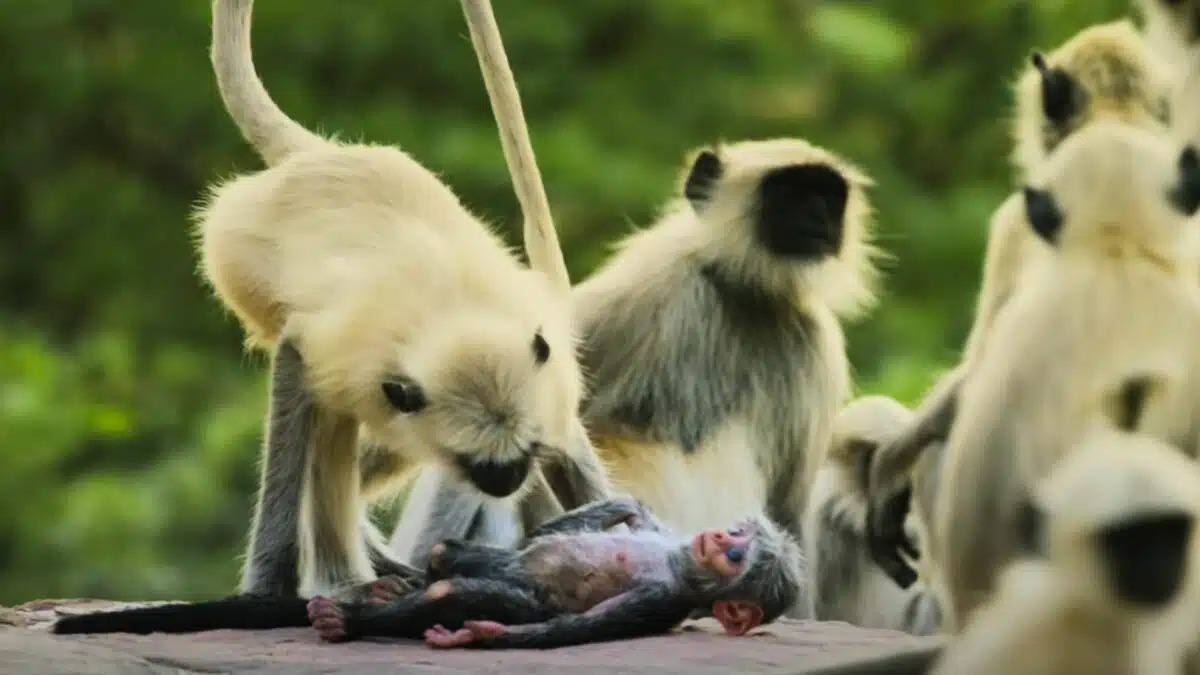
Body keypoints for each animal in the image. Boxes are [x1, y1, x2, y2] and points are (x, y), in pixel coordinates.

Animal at [189, 0, 612, 607]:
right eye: (480, 462)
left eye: (520, 455)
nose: (507, 480)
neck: (455, 312)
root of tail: (323, 156)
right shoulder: (346, 359)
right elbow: (298, 368)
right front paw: (267, 586)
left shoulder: (549, 387)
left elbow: (568, 449)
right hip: (241, 260)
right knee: (326, 413)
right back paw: (351, 576)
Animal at [302, 497, 805, 649]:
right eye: (735, 533)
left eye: (737, 557)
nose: (718, 539)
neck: (675, 560)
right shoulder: (657, 529)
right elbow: (624, 508)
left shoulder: (660, 598)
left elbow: (580, 626)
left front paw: (481, 635)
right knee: (447, 554)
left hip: (523, 598)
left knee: (448, 591)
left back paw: (344, 620)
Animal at [391, 136, 882, 589]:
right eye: (789, 193)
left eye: (828, 197)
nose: (817, 217)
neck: (742, 293)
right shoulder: (647, 285)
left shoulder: (815, 344)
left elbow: (787, 513)